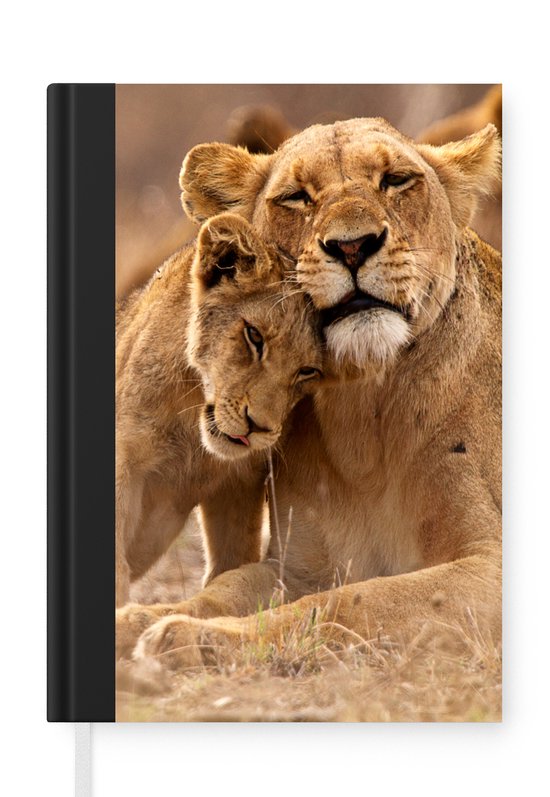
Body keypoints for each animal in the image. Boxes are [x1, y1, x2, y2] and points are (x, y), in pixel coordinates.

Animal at [115, 212, 323, 615]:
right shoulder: (123, 456)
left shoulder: (239, 482)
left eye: (308, 371)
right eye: (254, 336)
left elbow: (232, 562)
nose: (258, 427)